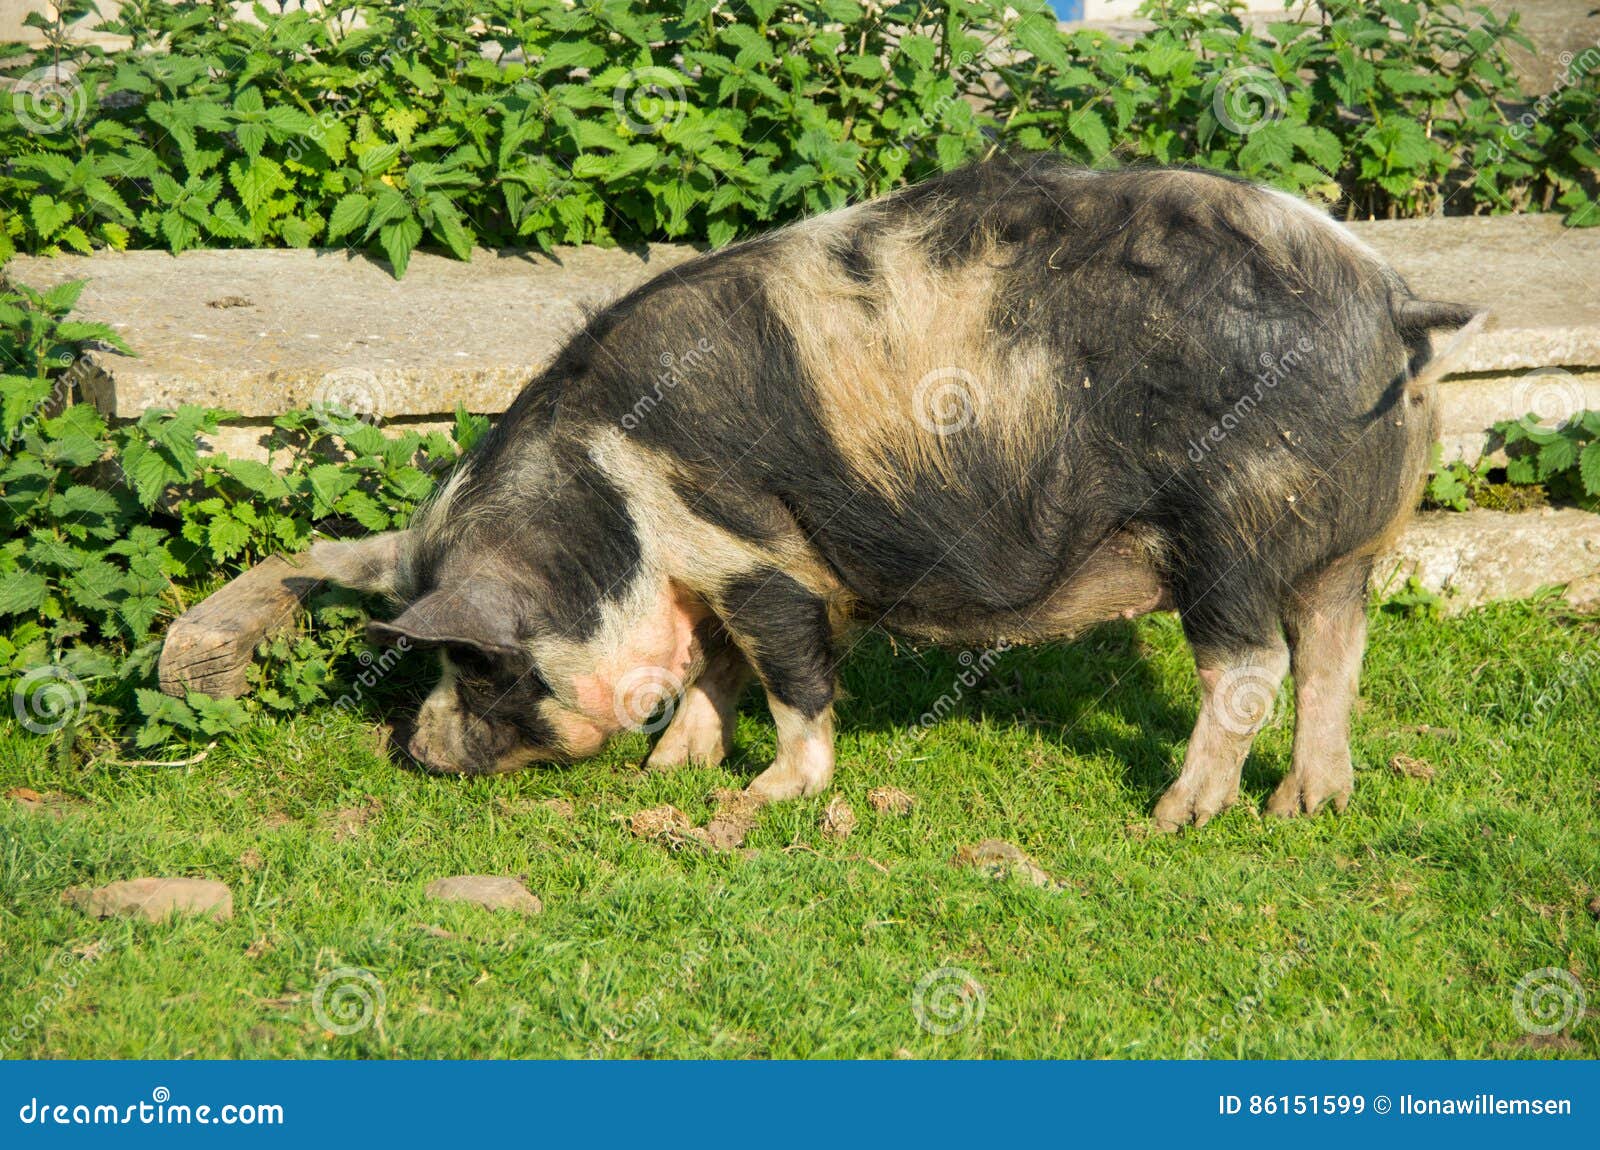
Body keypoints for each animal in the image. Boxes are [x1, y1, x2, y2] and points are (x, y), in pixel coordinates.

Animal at [309, 154, 1478, 830]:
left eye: (473, 662)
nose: (416, 747)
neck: (621, 517)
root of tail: (1389, 303)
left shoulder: (758, 555)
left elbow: (789, 679)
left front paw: (764, 796)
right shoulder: (714, 577)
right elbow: (716, 674)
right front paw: (670, 774)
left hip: (1228, 528)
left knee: (1252, 667)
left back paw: (1174, 816)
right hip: (1347, 543)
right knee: (1335, 650)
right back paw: (1307, 807)